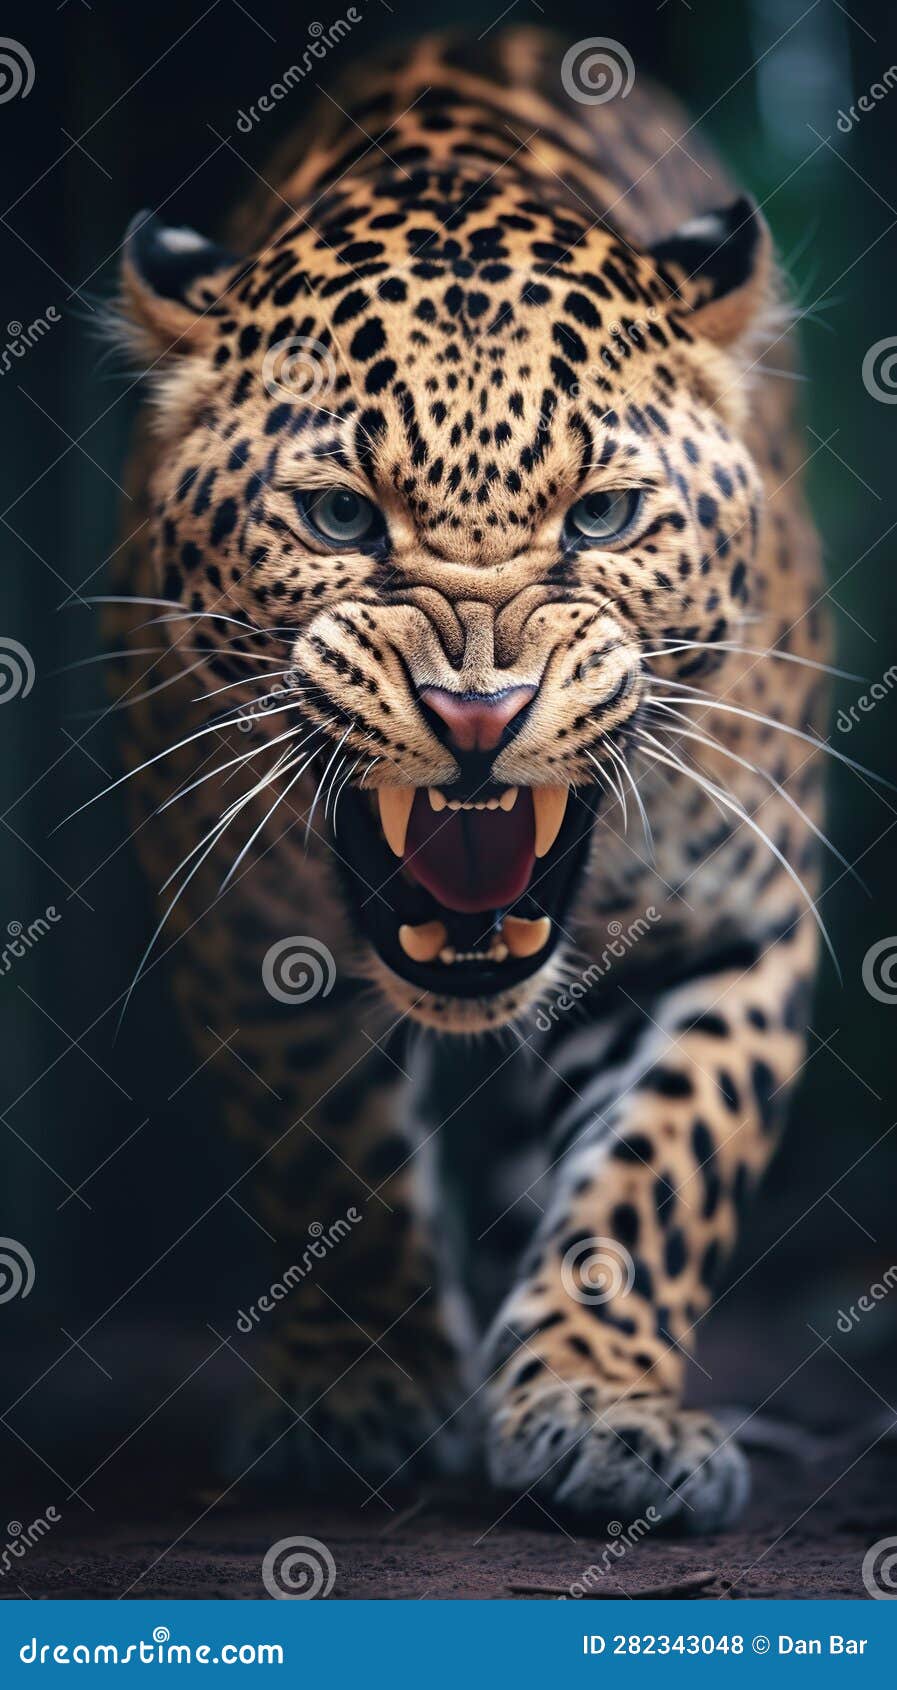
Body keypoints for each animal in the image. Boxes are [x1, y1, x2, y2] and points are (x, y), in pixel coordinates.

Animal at [102, 26, 830, 1534]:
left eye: (601, 515)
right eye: (337, 516)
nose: (476, 713)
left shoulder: (736, 917)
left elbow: (661, 1163)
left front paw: (604, 1406)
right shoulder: (245, 934)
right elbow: (324, 1150)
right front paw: (356, 1389)